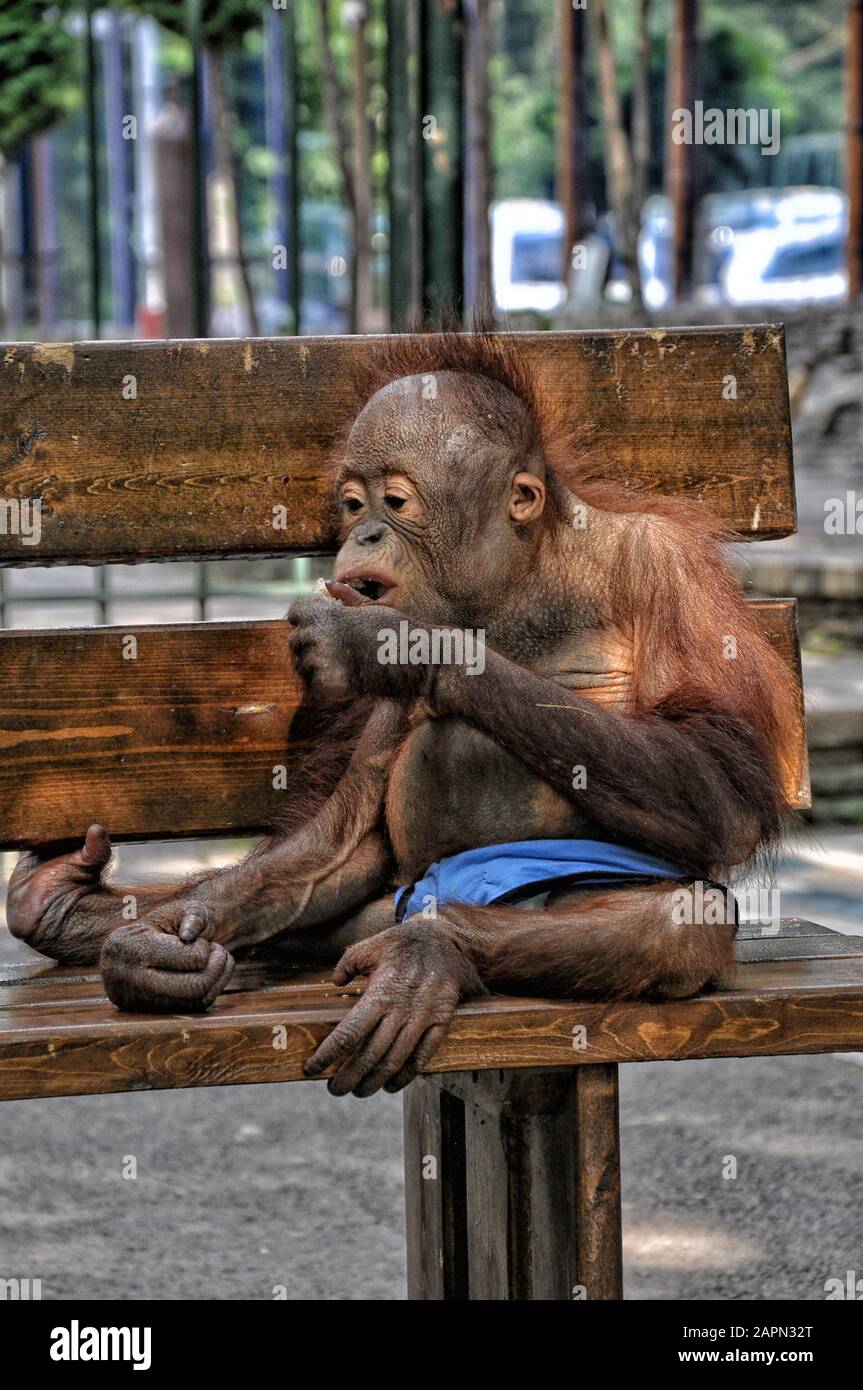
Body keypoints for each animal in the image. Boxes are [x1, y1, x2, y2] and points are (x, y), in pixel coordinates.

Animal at [5, 328, 800, 1098]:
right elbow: (345, 836)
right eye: (355, 505)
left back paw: (429, 950)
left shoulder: (667, 567)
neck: (518, 575)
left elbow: (720, 773)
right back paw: (70, 910)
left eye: (397, 502)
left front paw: (392, 644)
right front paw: (156, 942)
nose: (363, 536)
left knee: (675, 920)